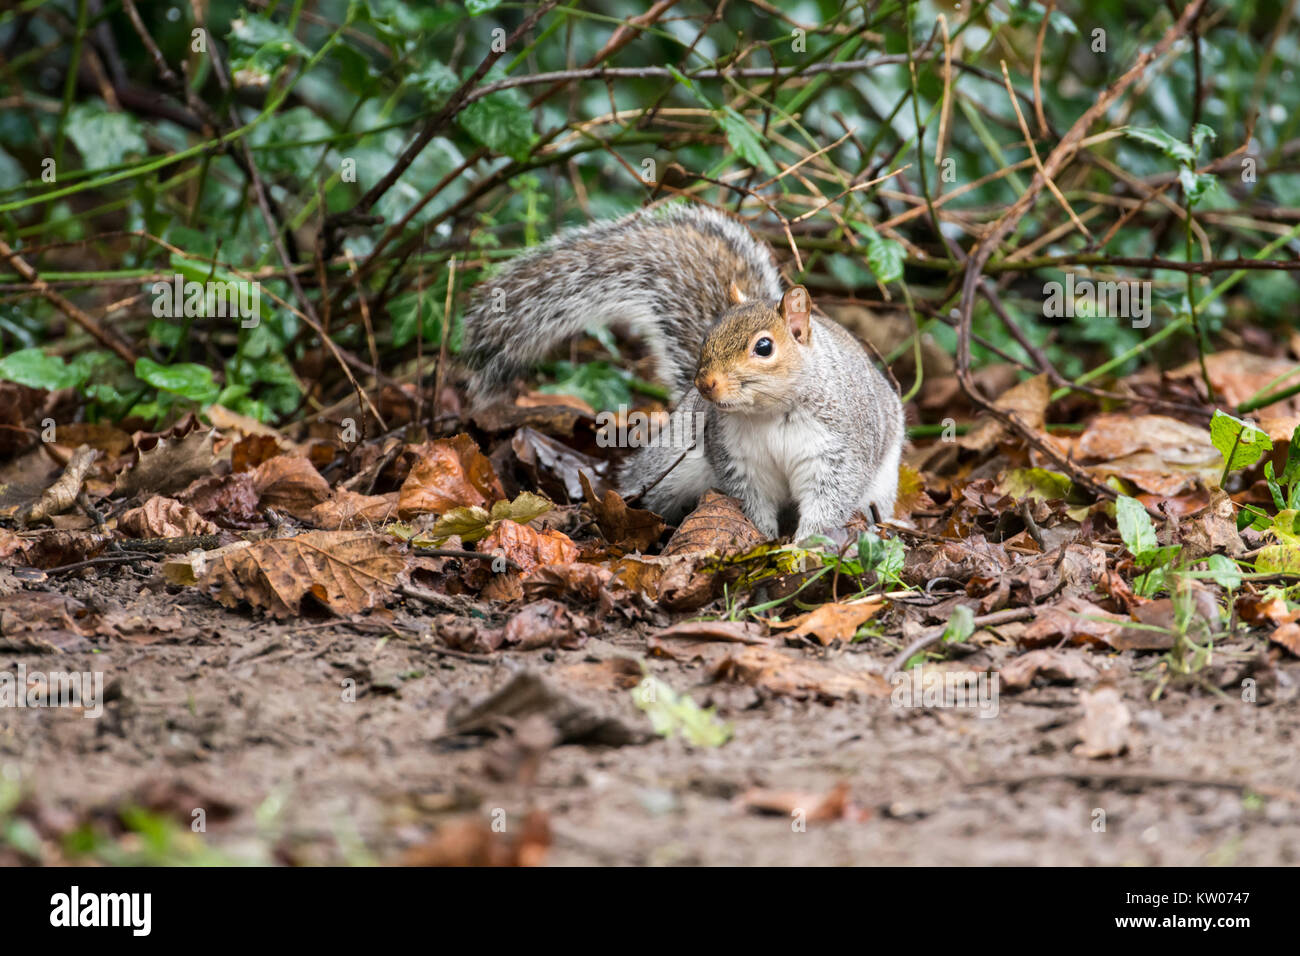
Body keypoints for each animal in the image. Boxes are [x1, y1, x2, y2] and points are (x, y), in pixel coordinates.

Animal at [461, 204, 905, 540]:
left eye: (764, 347)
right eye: (708, 335)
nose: (705, 384)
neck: (770, 412)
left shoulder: (838, 451)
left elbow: (828, 501)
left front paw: (805, 546)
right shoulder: (737, 459)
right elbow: (751, 501)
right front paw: (760, 539)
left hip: (882, 484)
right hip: (674, 463)